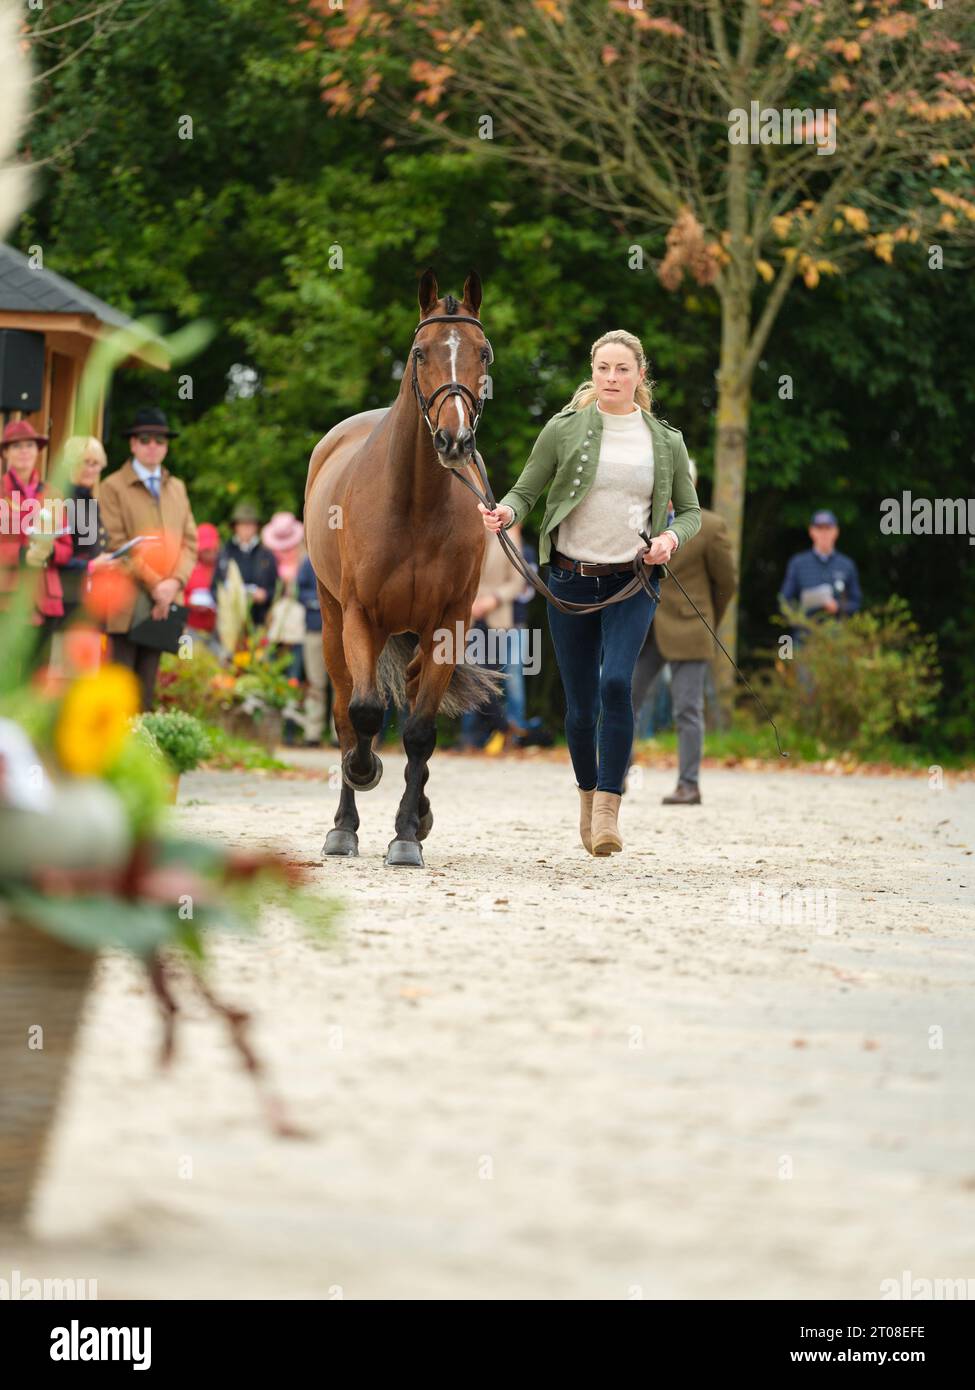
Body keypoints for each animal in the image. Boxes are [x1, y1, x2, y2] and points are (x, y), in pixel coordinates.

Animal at [304, 269, 502, 867]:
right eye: (420, 352)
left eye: (483, 352)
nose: (454, 440)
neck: (414, 502)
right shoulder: (360, 617)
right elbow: (365, 712)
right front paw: (363, 773)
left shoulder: (449, 624)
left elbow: (419, 731)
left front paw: (409, 834)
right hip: (331, 624)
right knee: (345, 708)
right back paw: (344, 824)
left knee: (415, 704)